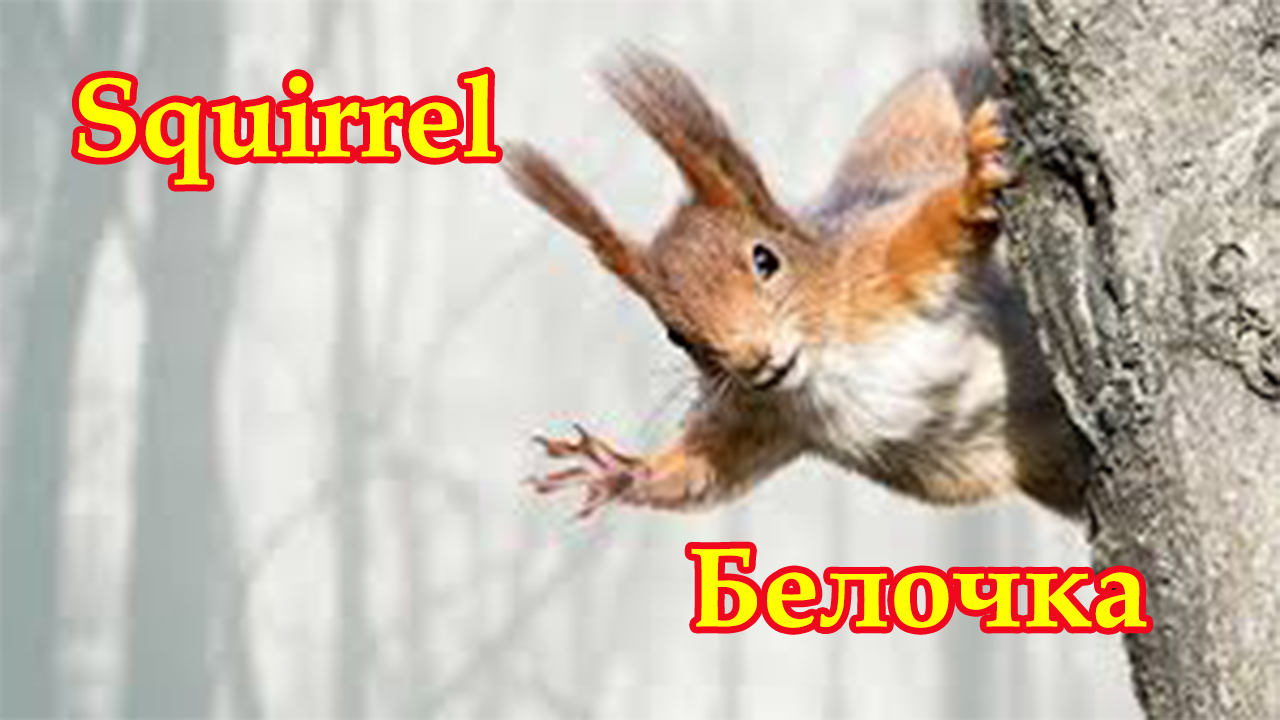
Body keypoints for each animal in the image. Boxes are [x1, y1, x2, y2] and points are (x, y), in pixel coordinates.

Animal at [505, 49, 1087, 520]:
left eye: (766, 259)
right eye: (675, 335)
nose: (755, 359)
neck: (827, 364)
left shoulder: (883, 266)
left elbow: (935, 227)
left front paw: (974, 181)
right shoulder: (758, 415)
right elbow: (703, 472)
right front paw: (617, 470)